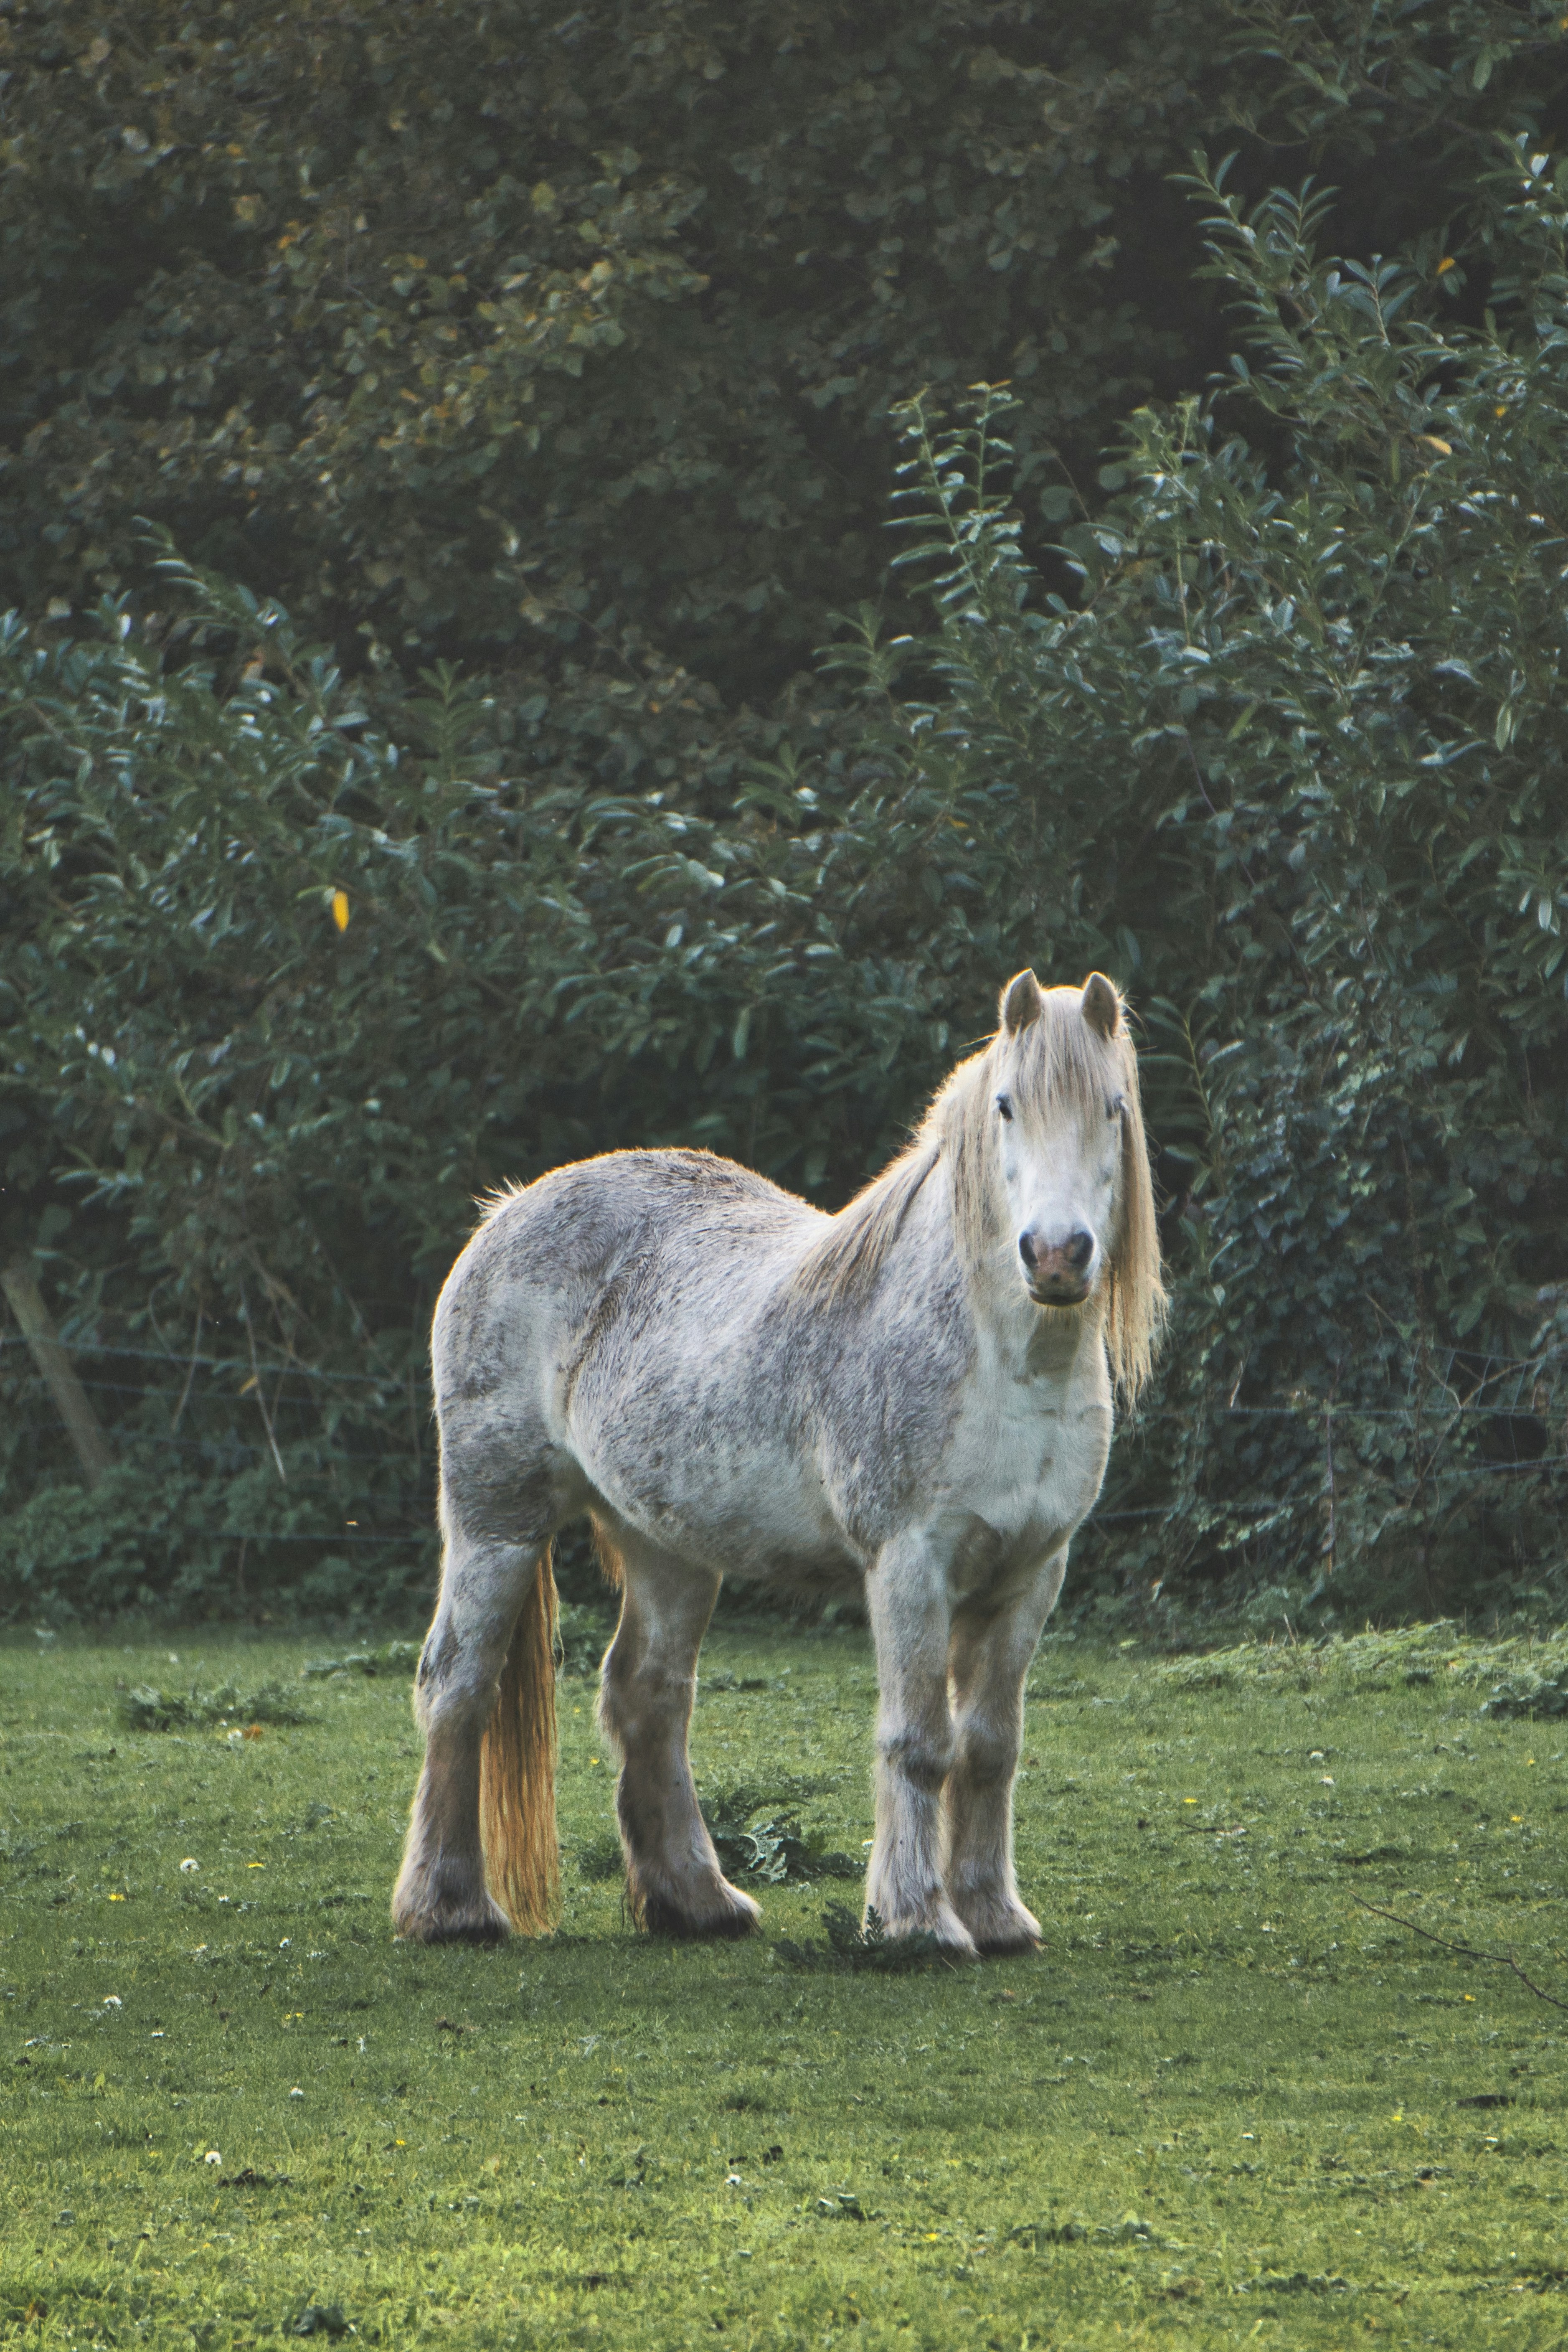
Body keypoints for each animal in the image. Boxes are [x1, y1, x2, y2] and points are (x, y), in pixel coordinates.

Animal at [391, 967, 1164, 1958]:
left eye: (1113, 1107)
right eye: (1005, 1107)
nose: (1057, 1255)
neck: (999, 1360)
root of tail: (508, 1209)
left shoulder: (1031, 1573)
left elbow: (989, 1747)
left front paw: (993, 1916)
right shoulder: (909, 1564)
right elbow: (920, 1739)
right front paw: (916, 1922)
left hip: (665, 1544)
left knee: (646, 1697)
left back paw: (696, 1901)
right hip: (496, 1520)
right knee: (458, 1684)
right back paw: (449, 1907)